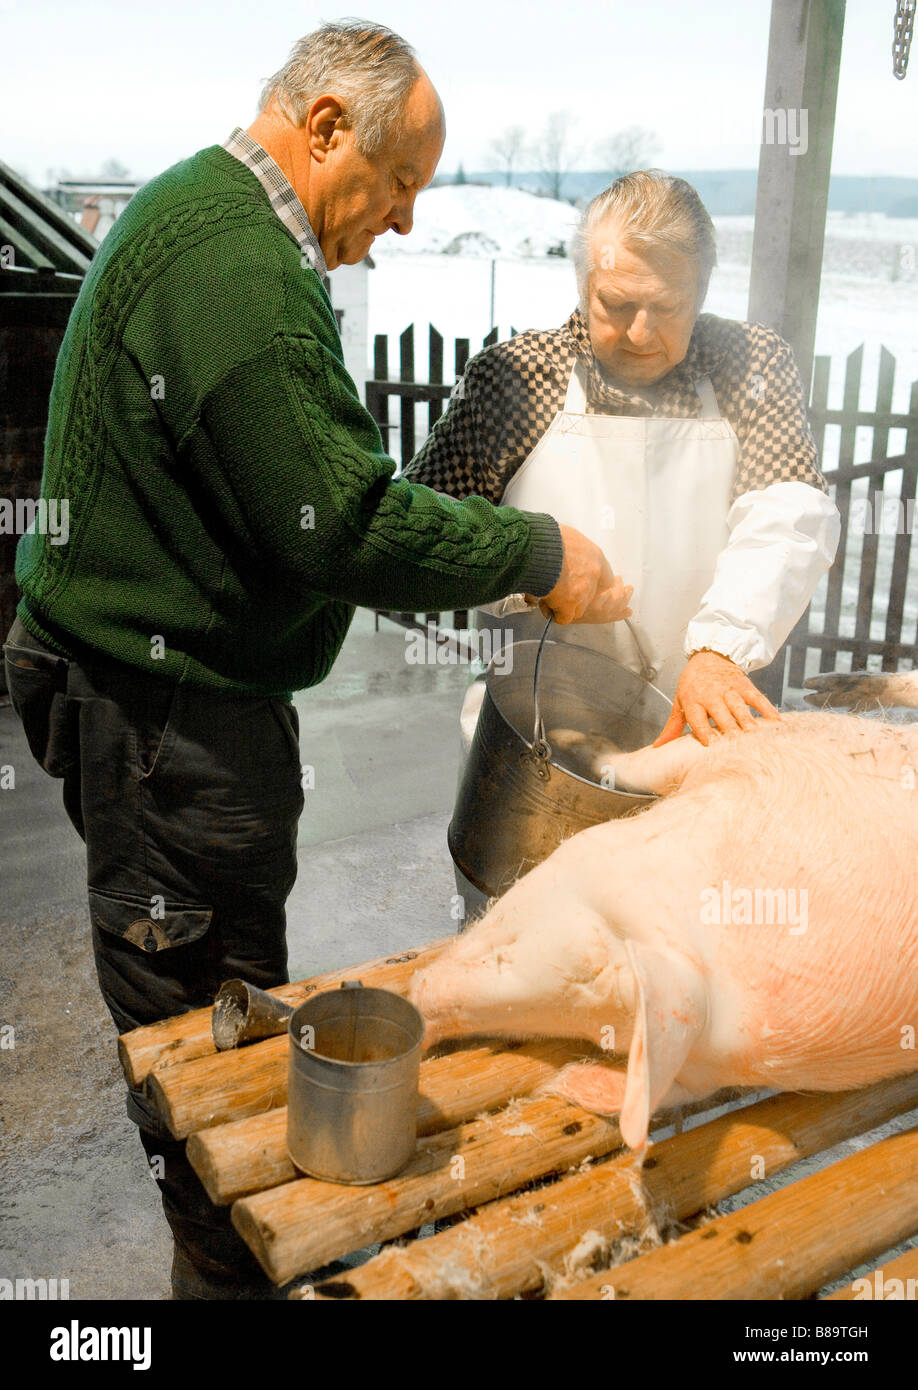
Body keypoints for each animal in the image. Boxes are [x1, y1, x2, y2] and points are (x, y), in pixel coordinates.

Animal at [410, 671, 918, 1150]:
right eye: (506, 941)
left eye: (592, 1017)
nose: (422, 1017)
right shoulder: (755, 740)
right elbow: (644, 759)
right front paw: (568, 737)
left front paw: (565, 1083)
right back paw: (827, 688)